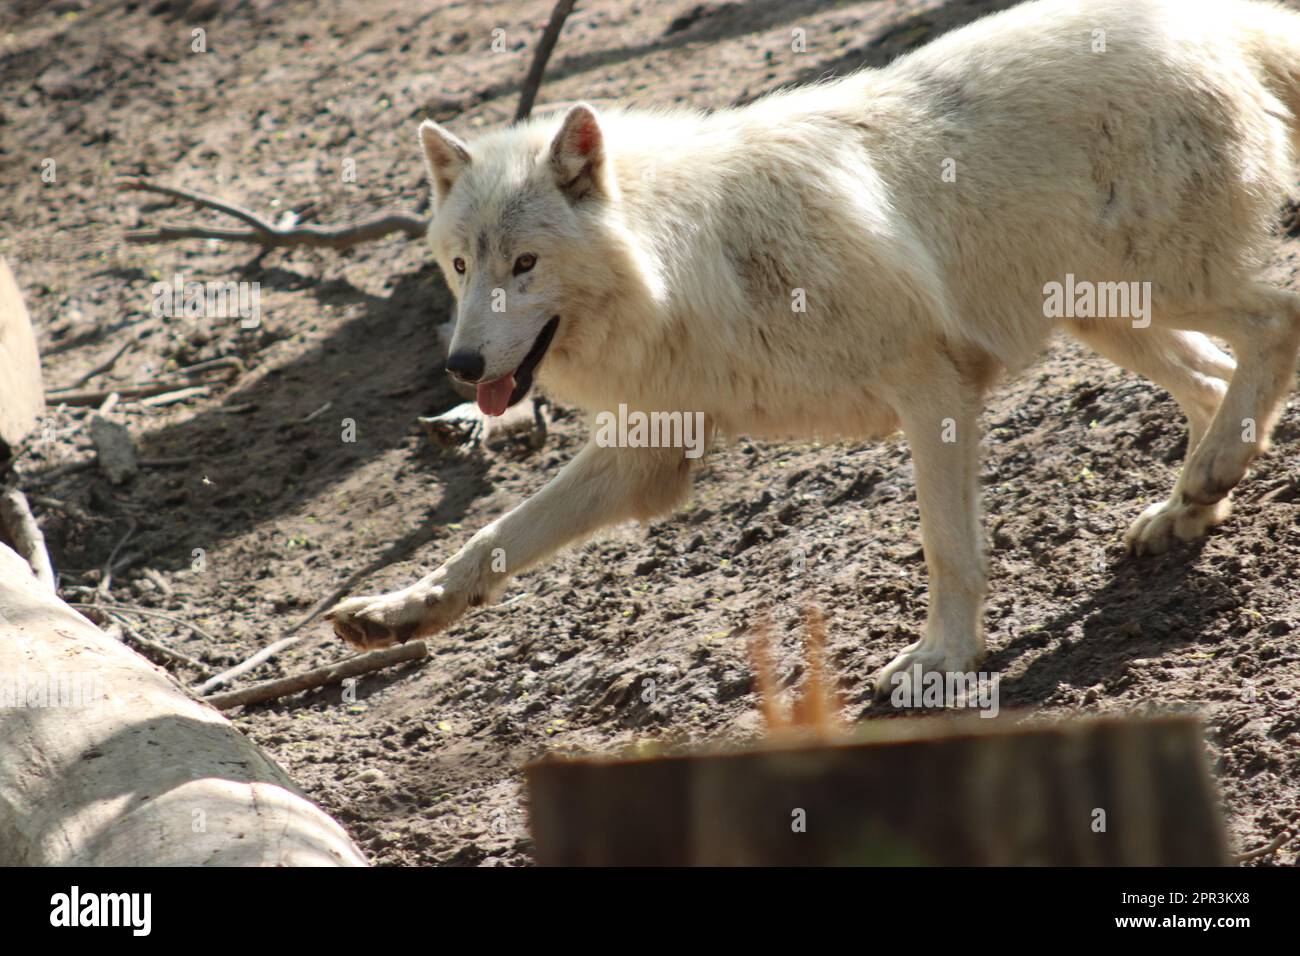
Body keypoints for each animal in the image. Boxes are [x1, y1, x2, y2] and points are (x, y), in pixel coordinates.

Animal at [328, 0, 1300, 695]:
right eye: (460, 266)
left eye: (525, 263)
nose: (459, 367)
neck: (691, 260)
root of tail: (1218, 21)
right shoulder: (651, 450)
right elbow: (494, 537)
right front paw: (395, 615)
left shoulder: (933, 387)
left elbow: (948, 548)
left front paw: (942, 662)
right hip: (1104, 314)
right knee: (1215, 377)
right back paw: (1188, 503)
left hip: (1160, 288)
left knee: (1276, 322)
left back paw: (1204, 481)